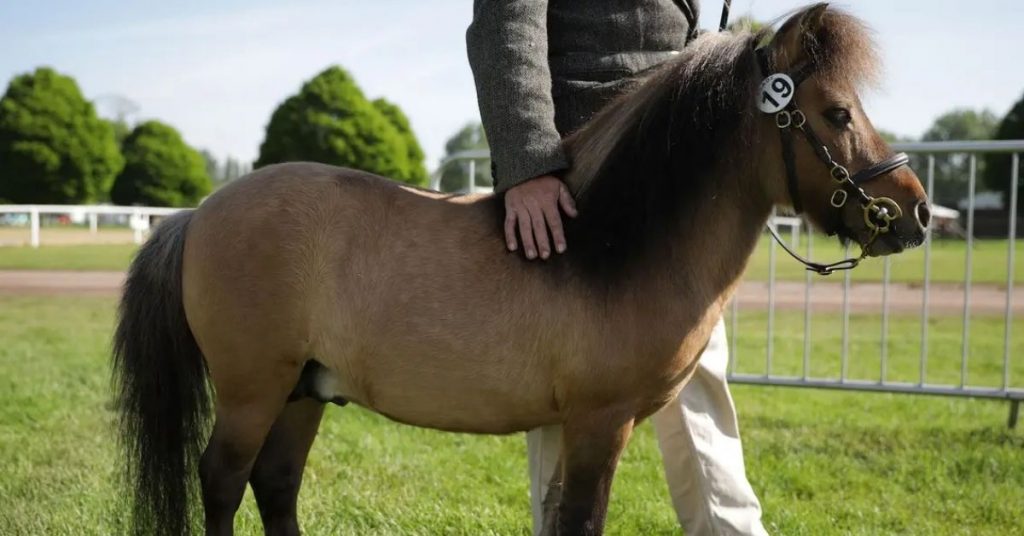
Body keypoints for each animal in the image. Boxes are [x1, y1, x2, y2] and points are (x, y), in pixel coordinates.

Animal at [112, 4, 929, 535]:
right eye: (835, 113)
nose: (916, 212)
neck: (616, 244)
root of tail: (196, 214)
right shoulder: (600, 423)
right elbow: (582, 521)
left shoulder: (579, 426)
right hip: (253, 389)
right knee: (223, 482)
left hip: (304, 390)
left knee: (276, 485)